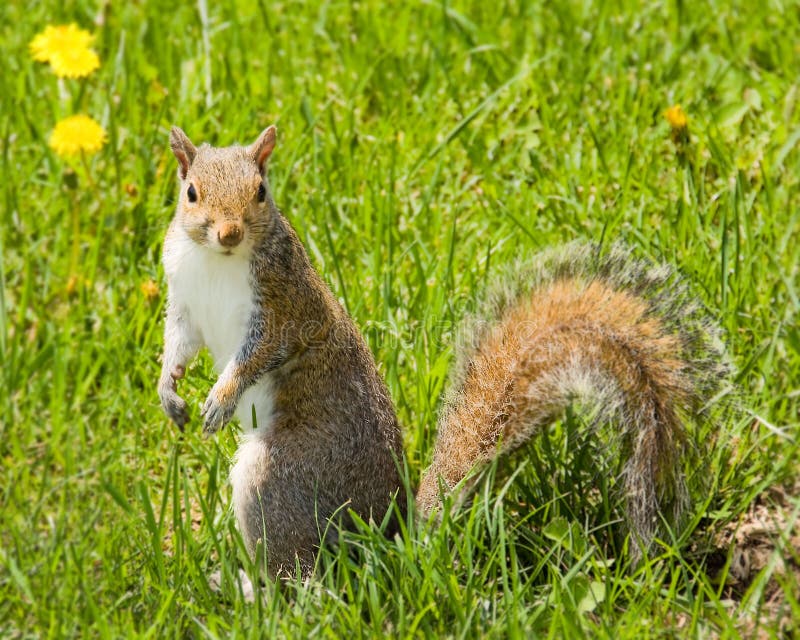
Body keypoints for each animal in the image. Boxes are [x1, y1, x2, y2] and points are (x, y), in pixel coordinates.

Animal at [159, 125, 730, 578]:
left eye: (261, 191)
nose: (230, 232)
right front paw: (171, 392)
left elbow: (258, 354)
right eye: (191, 192)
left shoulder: (284, 308)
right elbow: (179, 344)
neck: (216, 262)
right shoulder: (184, 300)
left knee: (298, 577)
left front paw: (220, 400)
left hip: (283, 475)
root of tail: (387, 536)